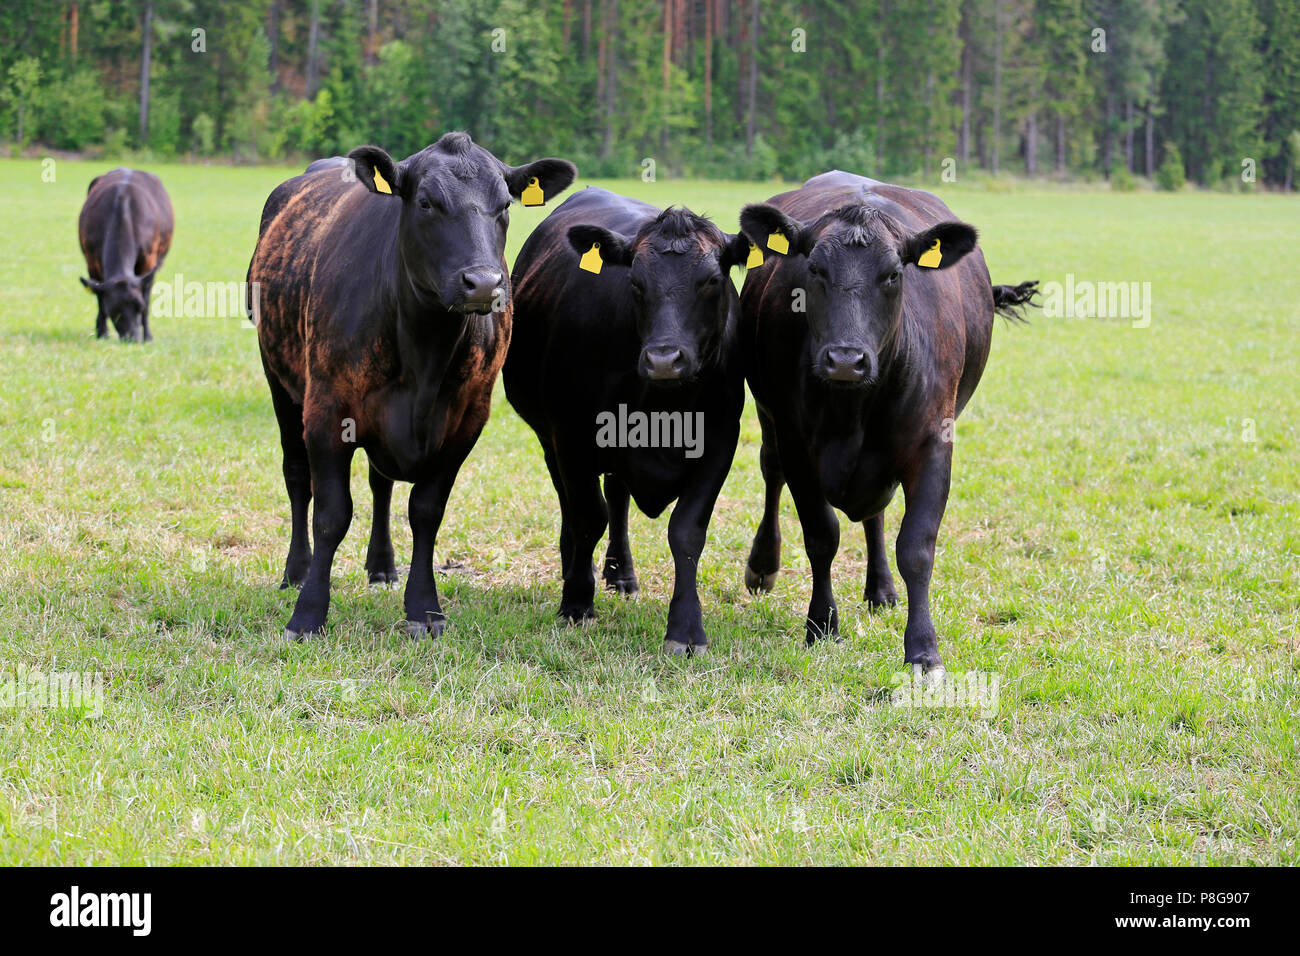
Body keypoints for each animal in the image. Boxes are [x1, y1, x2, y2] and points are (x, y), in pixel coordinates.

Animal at [78, 168, 173, 342]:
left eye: (139, 306)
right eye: (114, 310)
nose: (133, 338)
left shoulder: (148, 263)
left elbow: (147, 299)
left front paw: (148, 336)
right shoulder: (92, 262)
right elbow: (100, 299)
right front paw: (102, 333)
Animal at [247, 131, 576, 640]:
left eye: (505, 204)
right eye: (426, 202)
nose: (484, 284)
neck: (425, 348)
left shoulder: (467, 419)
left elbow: (426, 510)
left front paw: (423, 607)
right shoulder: (326, 410)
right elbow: (331, 514)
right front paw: (308, 613)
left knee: (380, 484)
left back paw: (381, 565)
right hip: (279, 380)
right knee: (297, 477)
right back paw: (296, 570)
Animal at [503, 187, 750, 655]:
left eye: (712, 280)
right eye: (636, 282)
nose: (664, 359)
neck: (664, 403)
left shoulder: (720, 443)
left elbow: (686, 531)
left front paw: (686, 628)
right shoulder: (572, 436)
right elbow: (587, 517)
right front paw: (577, 601)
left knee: (616, 496)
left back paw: (621, 574)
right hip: (550, 439)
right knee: (576, 507)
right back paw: (572, 565)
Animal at [737, 170, 1037, 676]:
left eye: (894, 274)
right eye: (815, 270)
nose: (845, 359)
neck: (852, 409)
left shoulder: (933, 443)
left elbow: (915, 547)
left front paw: (923, 649)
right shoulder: (797, 444)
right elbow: (821, 535)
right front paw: (822, 625)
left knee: (875, 515)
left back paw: (880, 588)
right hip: (770, 420)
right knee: (771, 471)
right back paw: (763, 565)